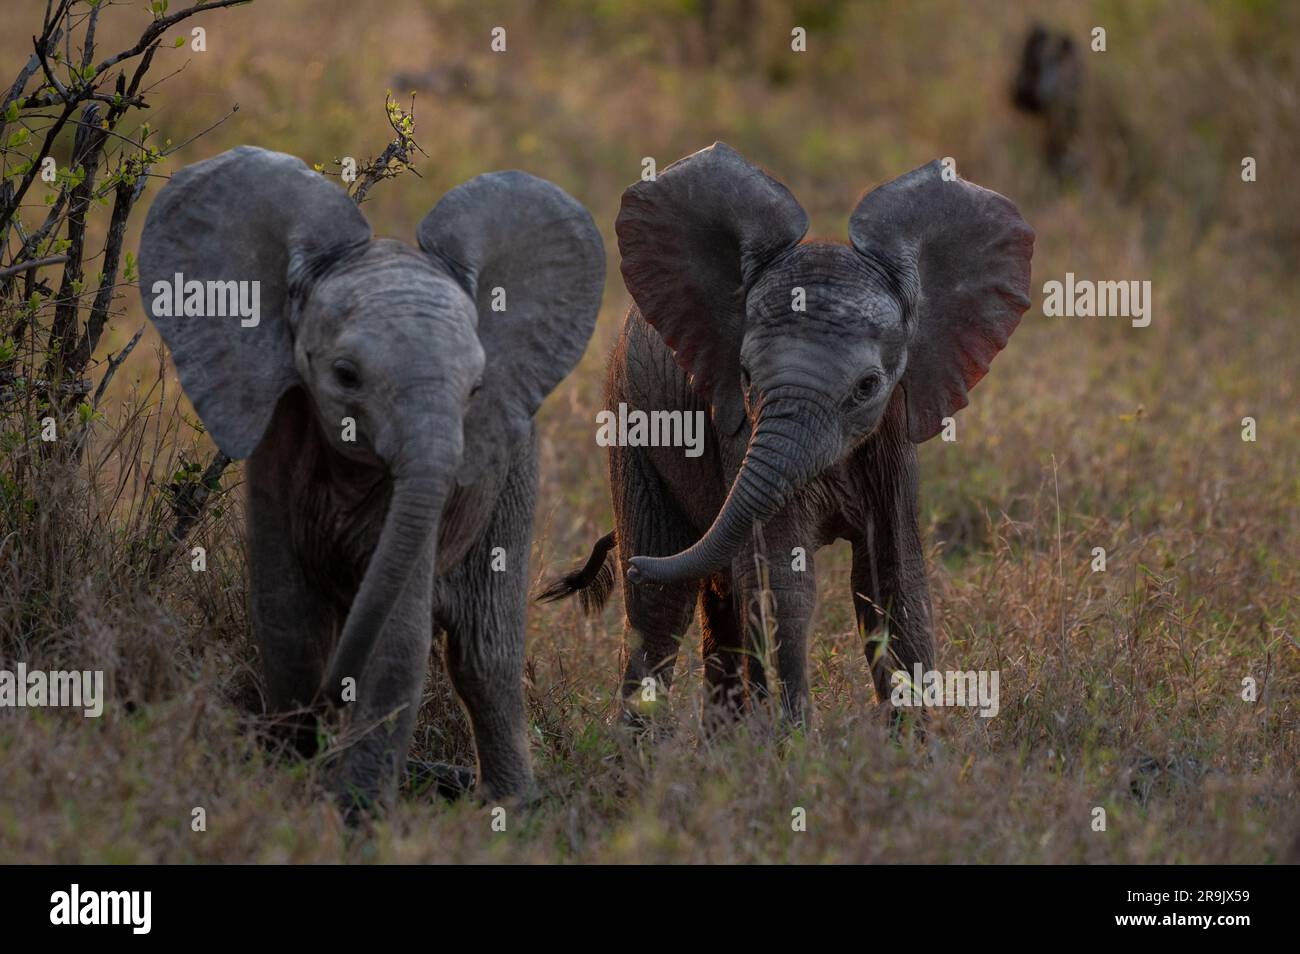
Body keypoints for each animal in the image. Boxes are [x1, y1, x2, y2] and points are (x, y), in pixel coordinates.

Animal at [139, 146, 605, 813]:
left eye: (476, 389)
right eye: (345, 375)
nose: (323, 716)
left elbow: (396, 645)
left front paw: (354, 815)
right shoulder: (278, 447)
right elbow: (287, 622)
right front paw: (293, 780)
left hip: (514, 476)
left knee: (485, 654)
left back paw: (510, 809)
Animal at [541, 143, 1032, 729]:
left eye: (868, 386)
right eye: (746, 375)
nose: (630, 567)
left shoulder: (894, 427)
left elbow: (896, 580)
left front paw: (912, 744)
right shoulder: (737, 424)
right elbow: (782, 578)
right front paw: (796, 738)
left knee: (719, 589)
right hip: (630, 415)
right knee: (663, 602)